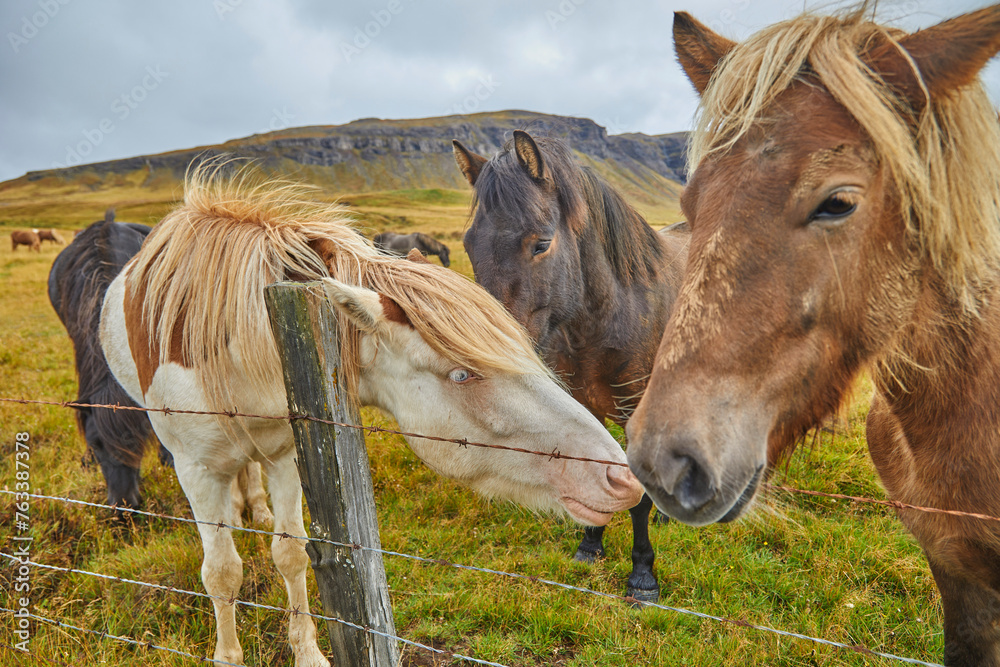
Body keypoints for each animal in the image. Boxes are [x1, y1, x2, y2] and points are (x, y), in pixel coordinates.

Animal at [99, 161, 644, 666]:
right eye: (462, 375)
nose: (622, 477)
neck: (242, 341)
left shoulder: (286, 451)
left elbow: (291, 553)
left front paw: (307, 652)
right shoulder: (195, 468)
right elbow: (221, 574)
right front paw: (227, 655)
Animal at [453, 131, 689, 602]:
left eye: (542, 244)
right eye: (469, 244)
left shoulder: (635, 409)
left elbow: (637, 497)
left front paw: (642, 575)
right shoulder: (585, 401)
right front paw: (590, 545)